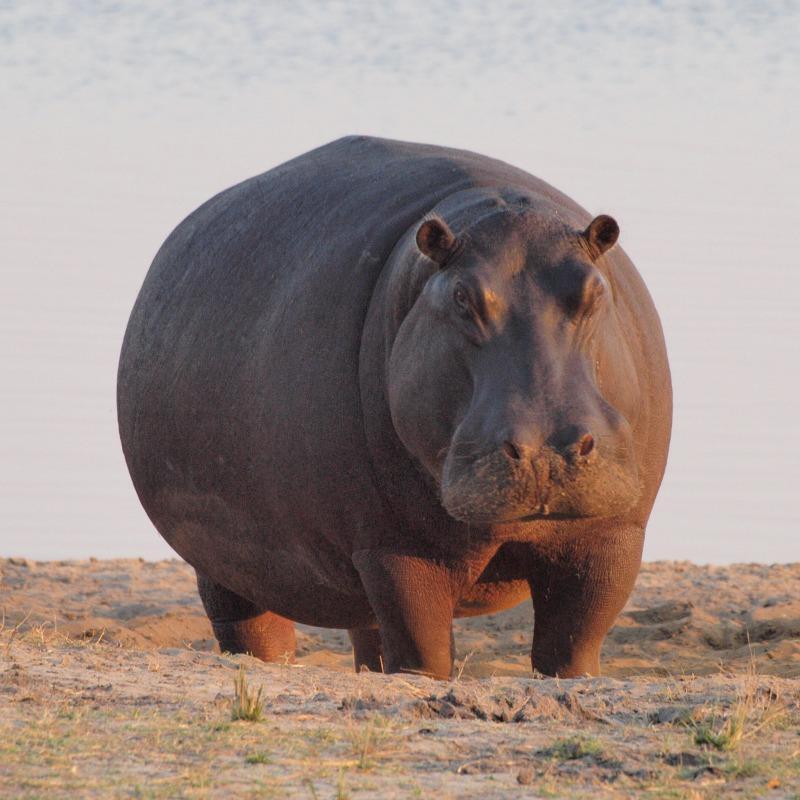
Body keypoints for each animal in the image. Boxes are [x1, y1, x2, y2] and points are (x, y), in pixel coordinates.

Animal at [117, 135, 671, 679]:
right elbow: (422, 651)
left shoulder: (612, 538)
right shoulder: (395, 549)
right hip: (226, 566)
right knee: (254, 629)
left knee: (369, 637)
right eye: (462, 297)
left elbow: (574, 648)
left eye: (594, 290)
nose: (546, 453)